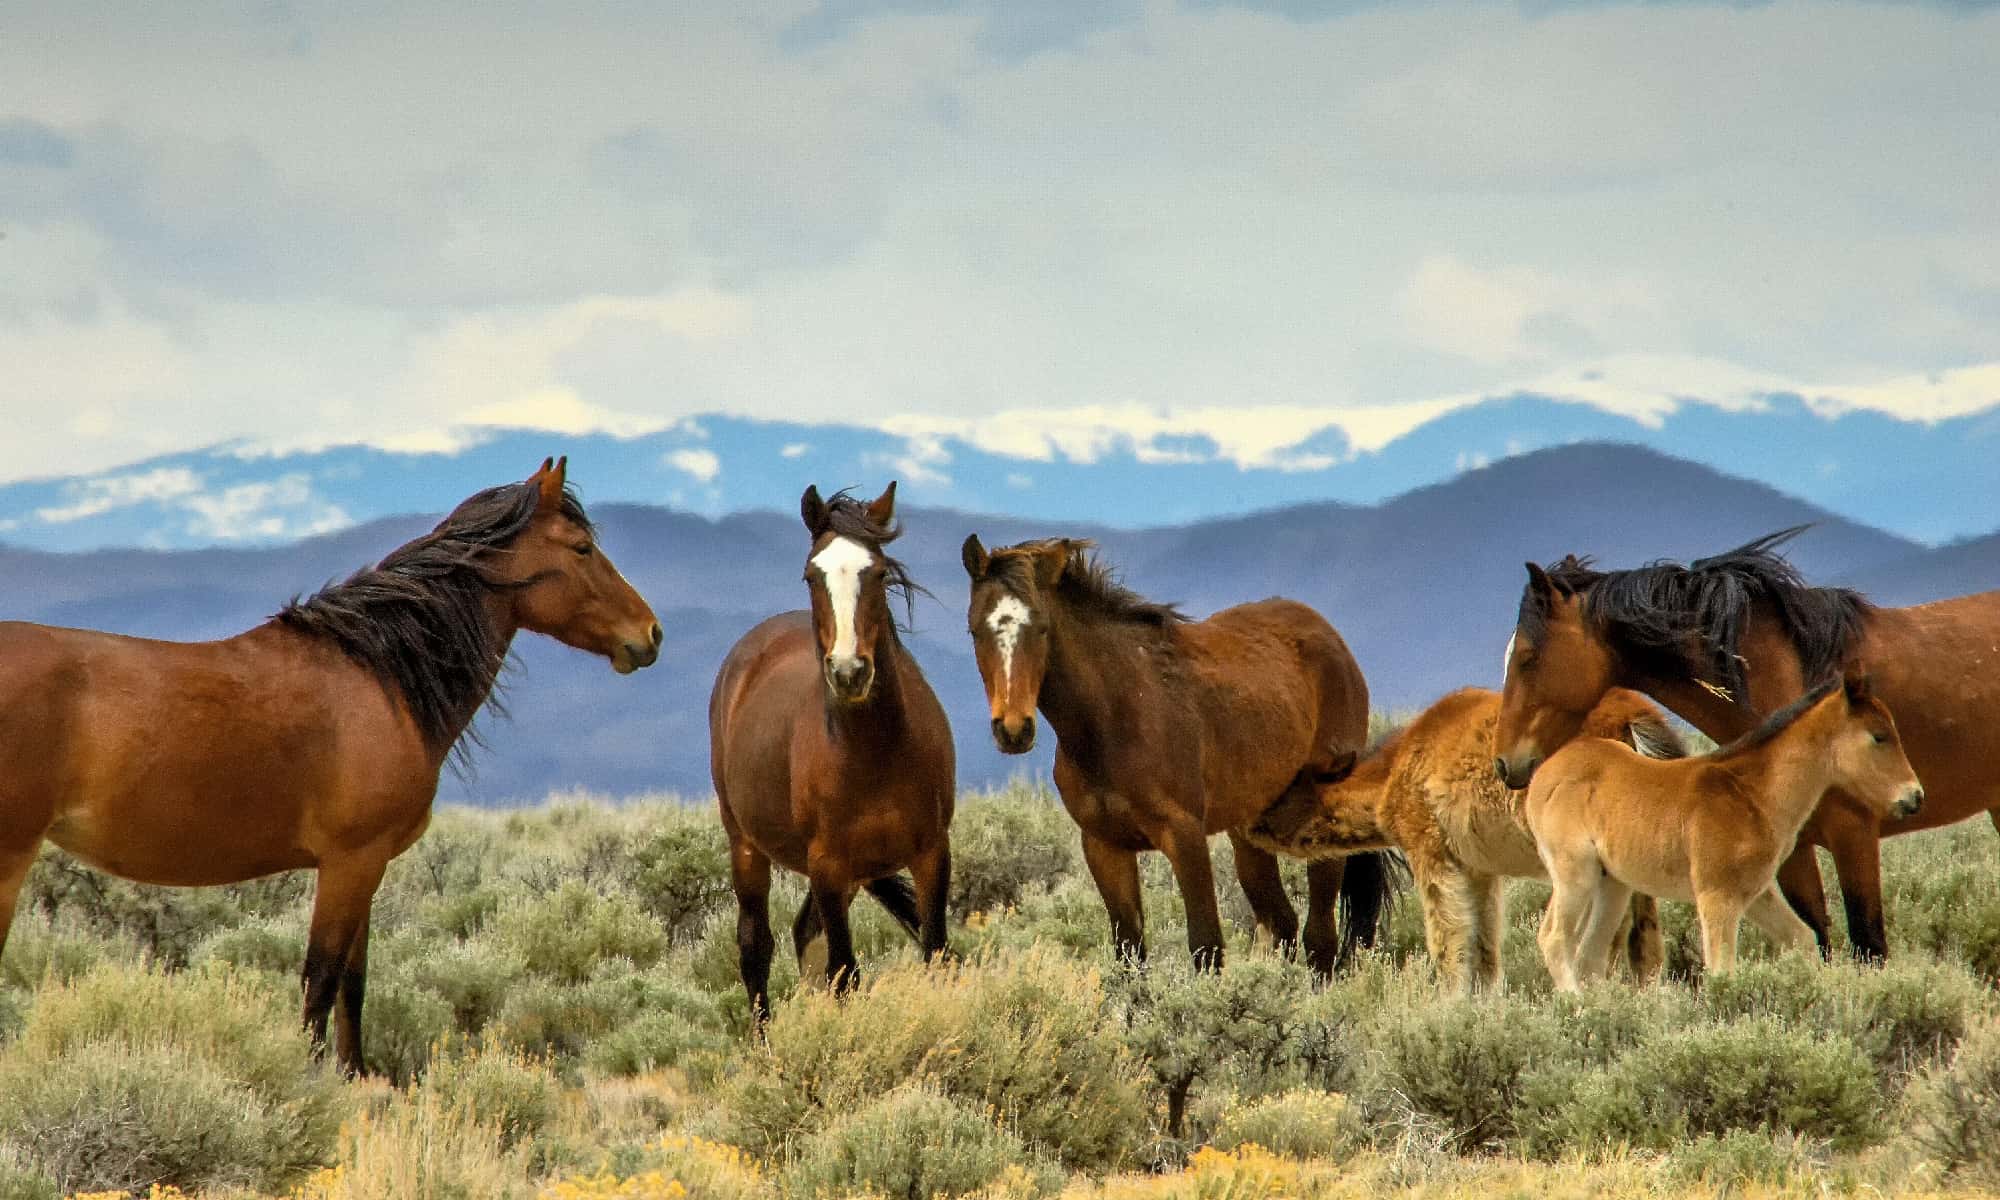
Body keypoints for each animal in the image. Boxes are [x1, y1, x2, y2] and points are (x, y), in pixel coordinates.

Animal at [0, 458, 661, 1074]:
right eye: (581, 547)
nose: (650, 635)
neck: (380, 679)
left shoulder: (367, 868)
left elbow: (352, 985)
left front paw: (354, 1074)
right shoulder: (350, 862)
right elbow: (321, 980)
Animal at [709, 483, 955, 1019]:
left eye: (878, 572)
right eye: (811, 575)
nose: (848, 671)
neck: (876, 752)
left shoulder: (931, 853)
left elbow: (937, 956)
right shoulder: (828, 864)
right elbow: (845, 972)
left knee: (805, 934)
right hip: (746, 846)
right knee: (755, 949)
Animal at [960, 534, 1391, 974]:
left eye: (1043, 628)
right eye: (974, 630)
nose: (1014, 730)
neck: (1113, 717)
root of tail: (1332, 639)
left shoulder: (1184, 837)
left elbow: (1206, 946)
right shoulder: (1104, 846)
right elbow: (1129, 954)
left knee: (1319, 940)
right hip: (1249, 830)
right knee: (1281, 923)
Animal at [1247, 687, 1688, 993]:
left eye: (1287, 785)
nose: (1251, 822)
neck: (1396, 770)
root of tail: (1633, 718)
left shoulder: (1434, 857)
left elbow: (1449, 943)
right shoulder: (1479, 870)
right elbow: (1485, 947)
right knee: (1645, 939)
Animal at [1527, 674, 1922, 989]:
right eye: (1879, 737)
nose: (1914, 797)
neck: (1751, 794)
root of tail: (1543, 775)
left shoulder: (1757, 892)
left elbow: (1802, 938)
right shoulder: (1717, 897)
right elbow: (1722, 973)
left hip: (1612, 884)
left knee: (1589, 955)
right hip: (1575, 873)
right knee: (1554, 938)